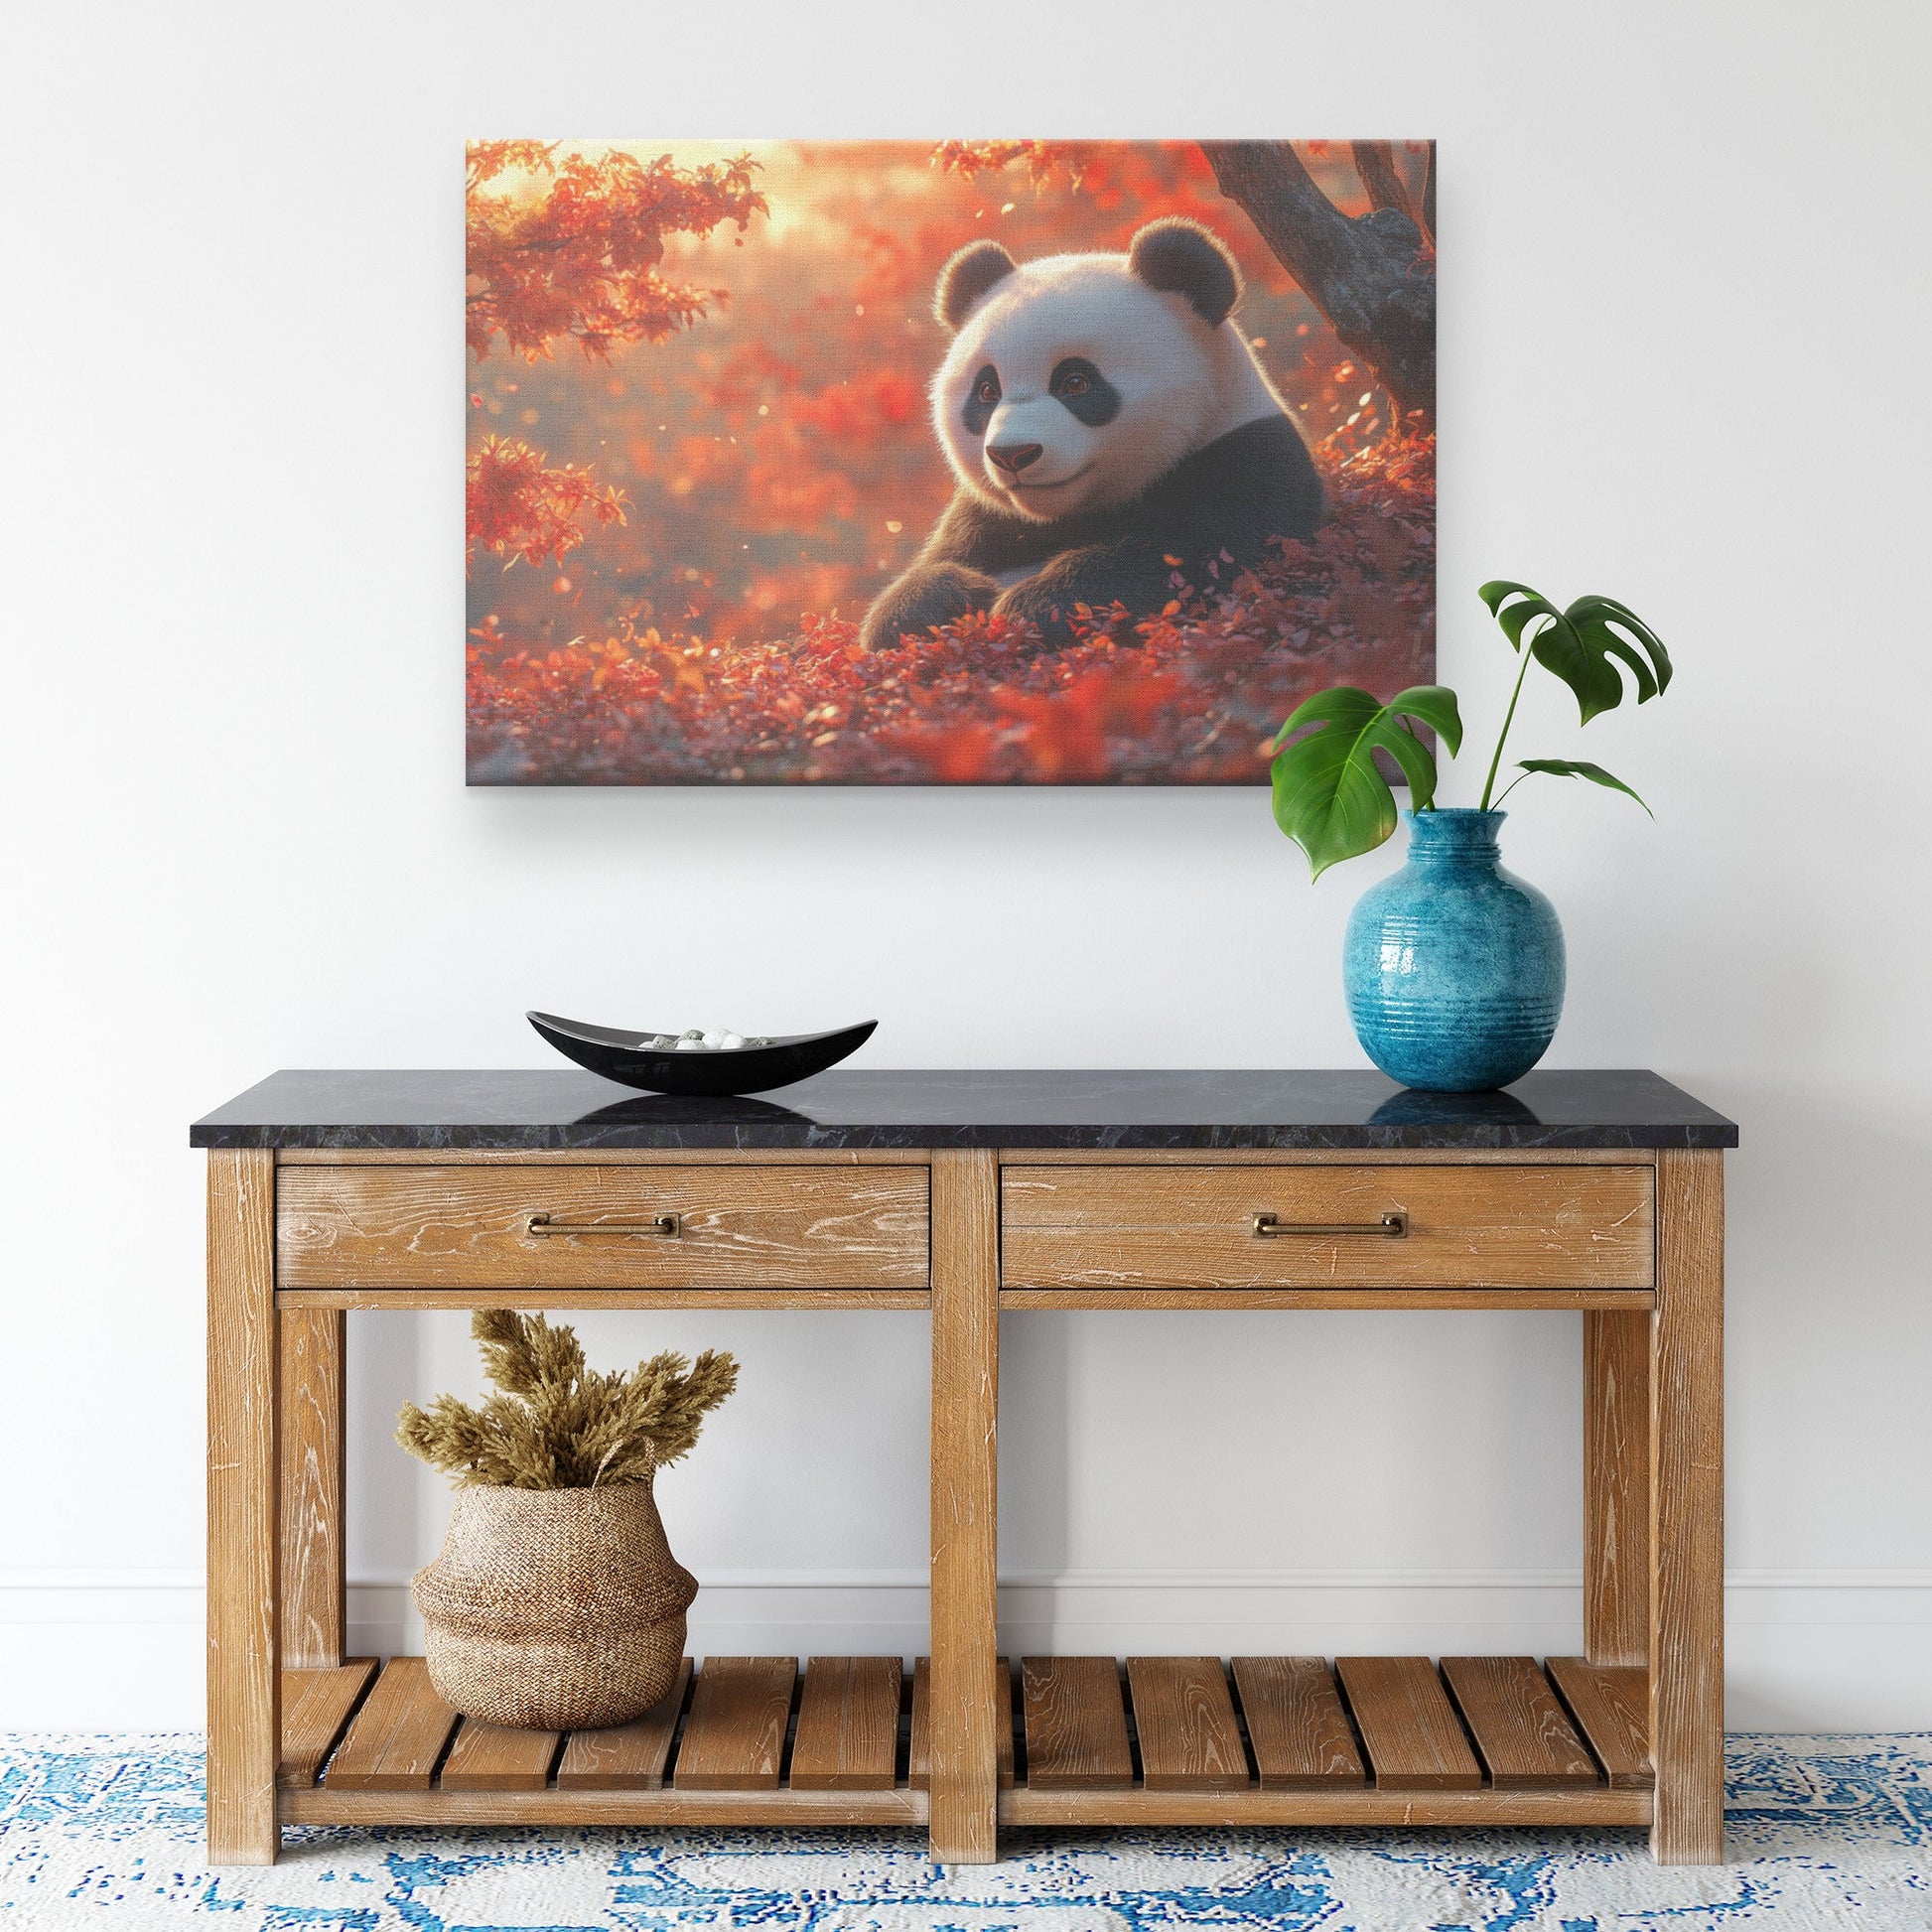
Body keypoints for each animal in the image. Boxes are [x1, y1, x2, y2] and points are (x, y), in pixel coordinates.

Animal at [858, 217, 1324, 653]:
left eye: (1075, 383)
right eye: (987, 391)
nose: (1013, 454)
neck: (1064, 517)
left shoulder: (1246, 460)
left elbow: (1186, 558)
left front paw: (1033, 605)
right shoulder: (986, 519)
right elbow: (921, 579)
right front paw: (947, 600)